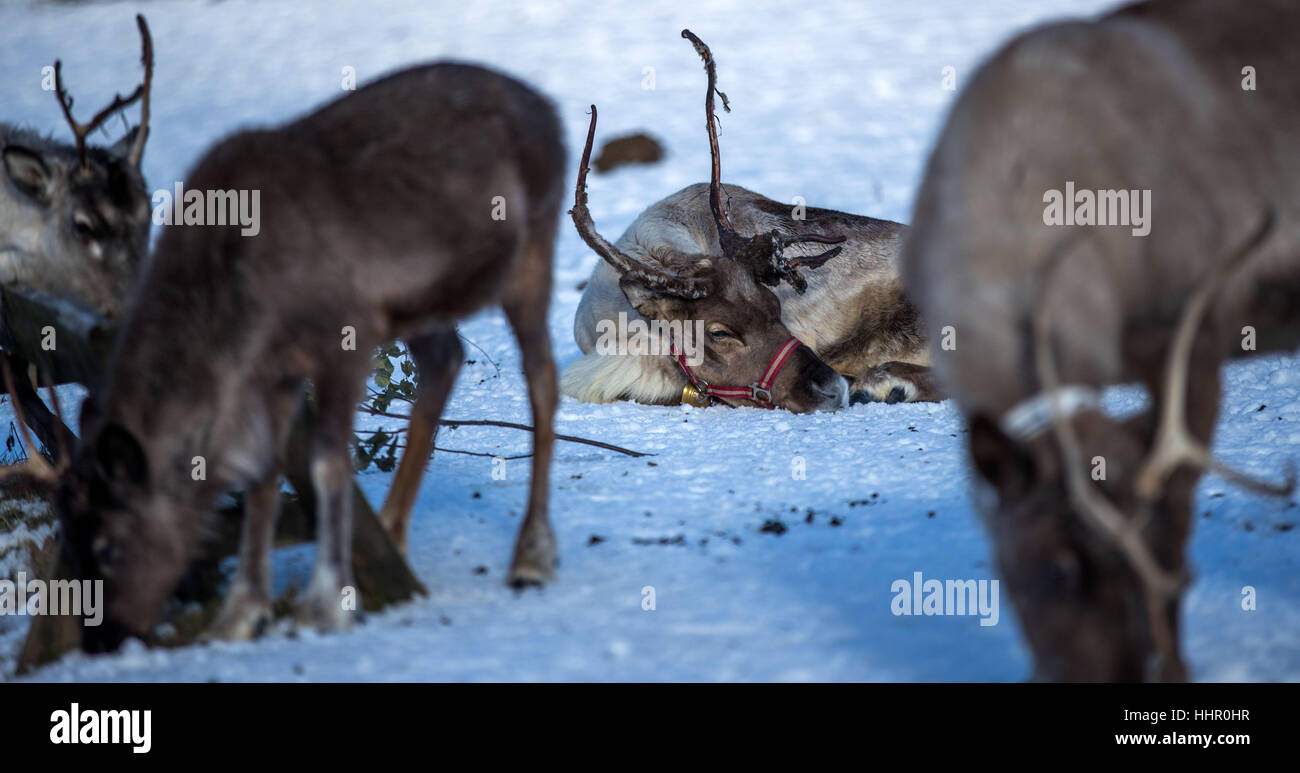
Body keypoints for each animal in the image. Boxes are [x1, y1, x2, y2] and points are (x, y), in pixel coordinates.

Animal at [42, 61, 566, 652]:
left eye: (108, 545)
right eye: (68, 540)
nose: (102, 639)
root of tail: (551, 113)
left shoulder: (345, 333)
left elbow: (327, 464)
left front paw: (326, 605)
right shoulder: (276, 371)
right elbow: (263, 477)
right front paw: (242, 614)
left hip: (533, 247)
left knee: (543, 379)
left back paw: (531, 556)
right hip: (420, 309)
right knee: (446, 359)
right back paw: (395, 534)